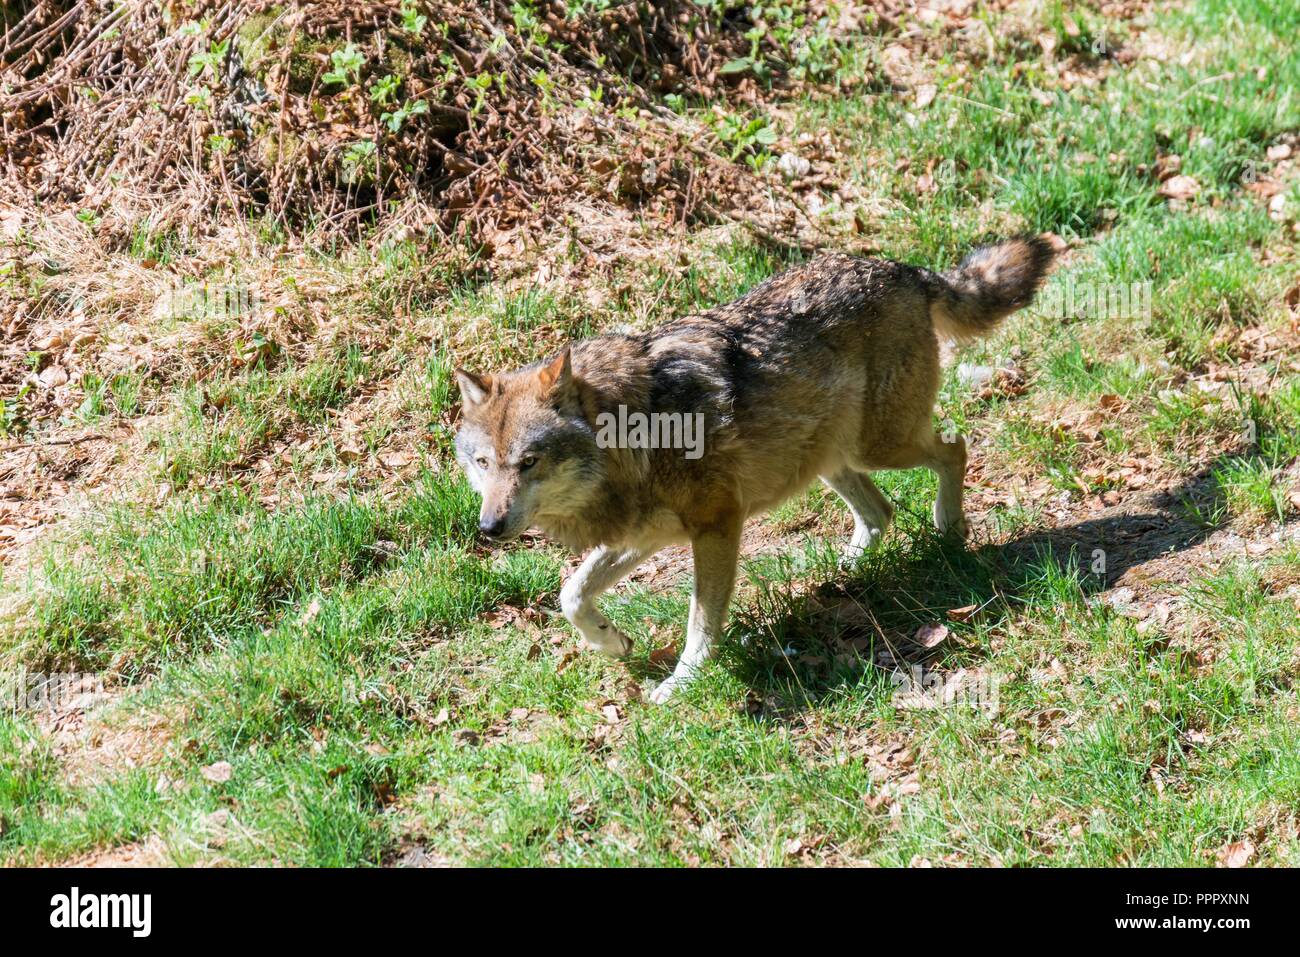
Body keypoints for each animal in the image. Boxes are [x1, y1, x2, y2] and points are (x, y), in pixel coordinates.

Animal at [454, 236, 1055, 702]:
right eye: (483, 464)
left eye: (529, 462)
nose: (488, 528)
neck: (636, 433)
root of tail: (902, 268)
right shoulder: (643, 535)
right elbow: (571, 595)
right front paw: (613, 641)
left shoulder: (718, 525)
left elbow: (700, 623)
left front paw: (682, 684)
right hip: (829, 459)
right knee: (881, 511)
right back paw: (848, 569)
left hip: (878, 446)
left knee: (956, 448)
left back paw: (950, 530)